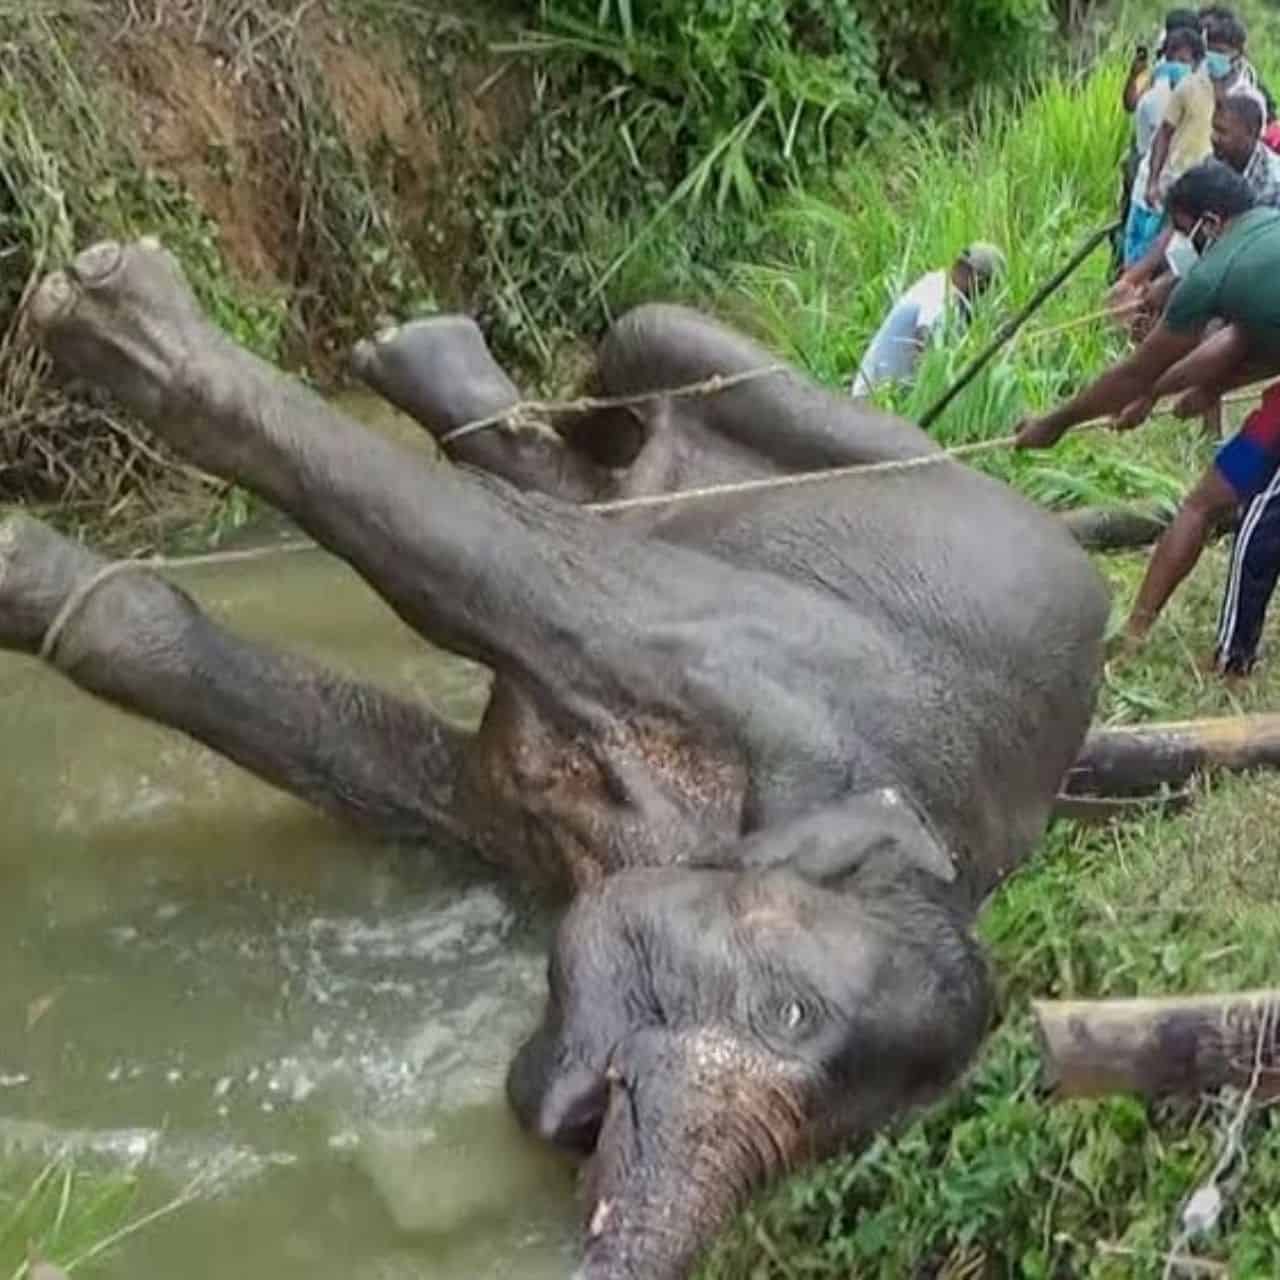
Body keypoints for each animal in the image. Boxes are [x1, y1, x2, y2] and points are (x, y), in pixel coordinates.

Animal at [0, 238, 1109, 1280]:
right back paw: (399, 345)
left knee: (569, 464)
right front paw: (110, 315)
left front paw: (27, 573)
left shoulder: (506, 810)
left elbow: (395, 772)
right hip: (840, 433)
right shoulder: (731, 654)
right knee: (629, 359)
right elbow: (499, 565)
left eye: (835, 1143)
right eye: (784, 1011)